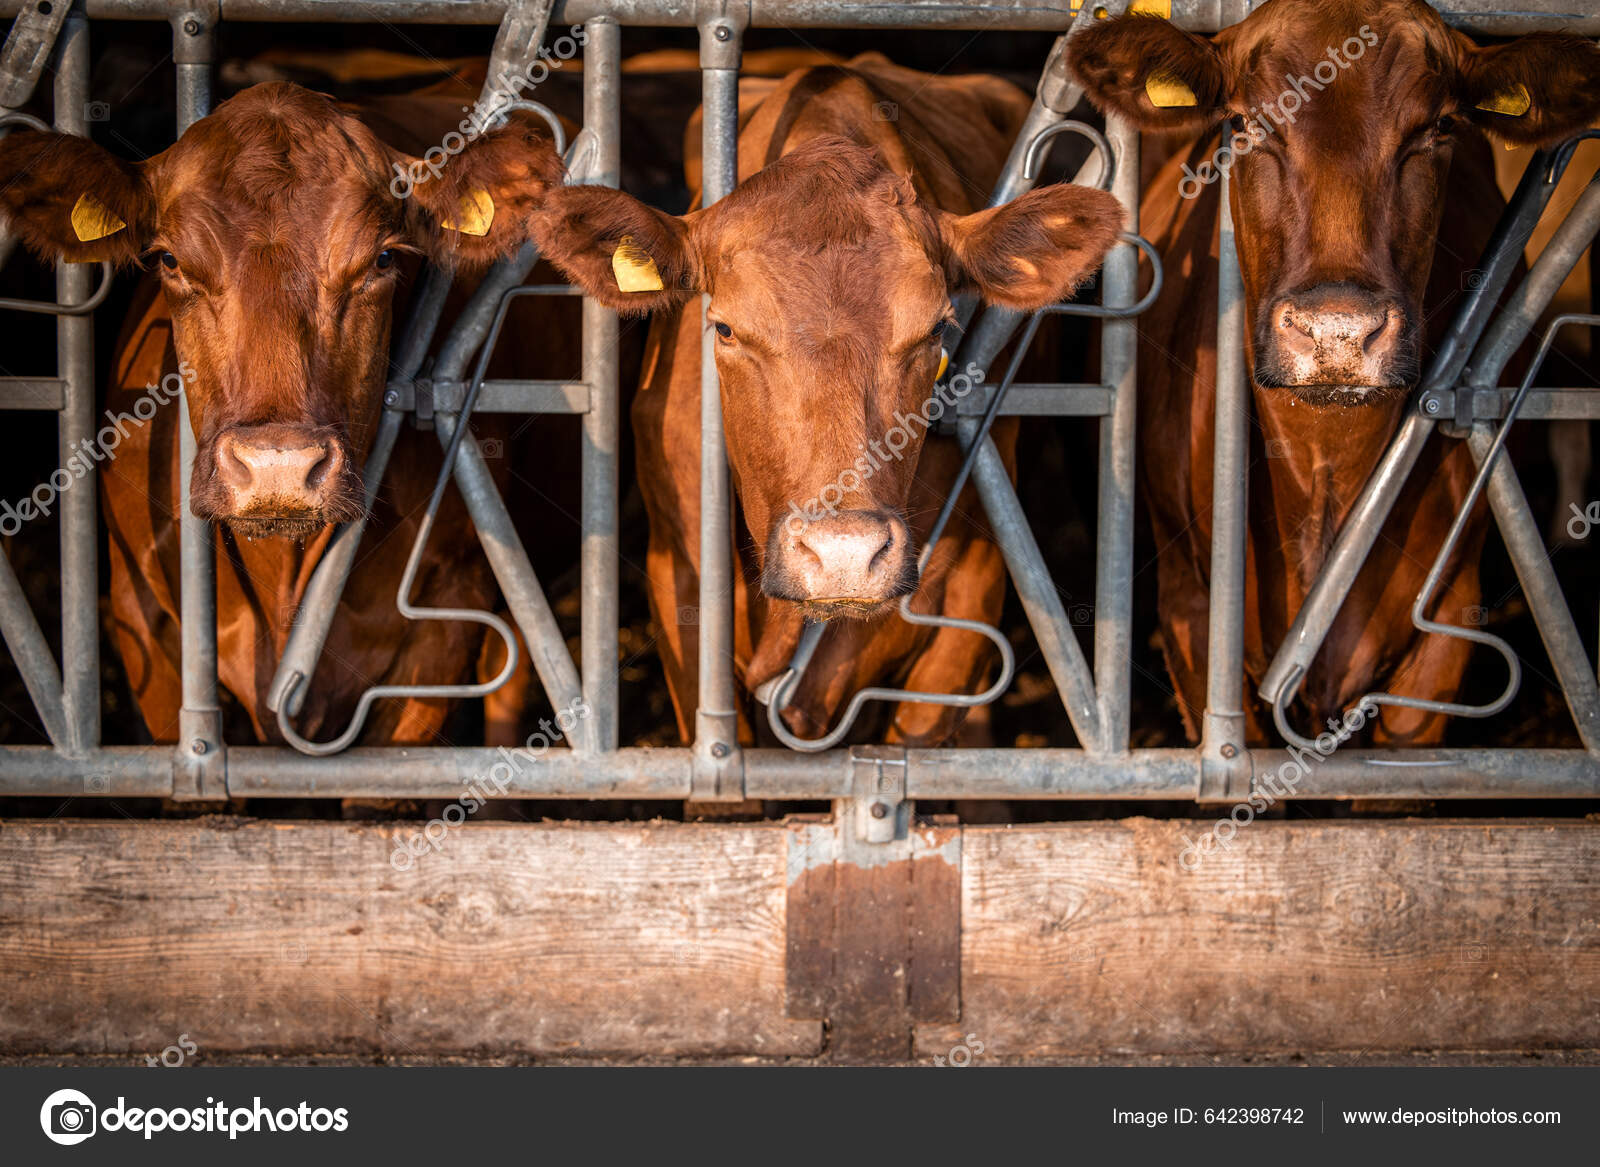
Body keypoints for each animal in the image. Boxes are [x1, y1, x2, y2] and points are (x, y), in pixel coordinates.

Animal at [1067, 0, 1600, 744]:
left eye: (1438, 129)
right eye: (1244, 124)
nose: (1338, 332)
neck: (1324, 476)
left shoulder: (1443, 637)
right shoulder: (1190, 614)